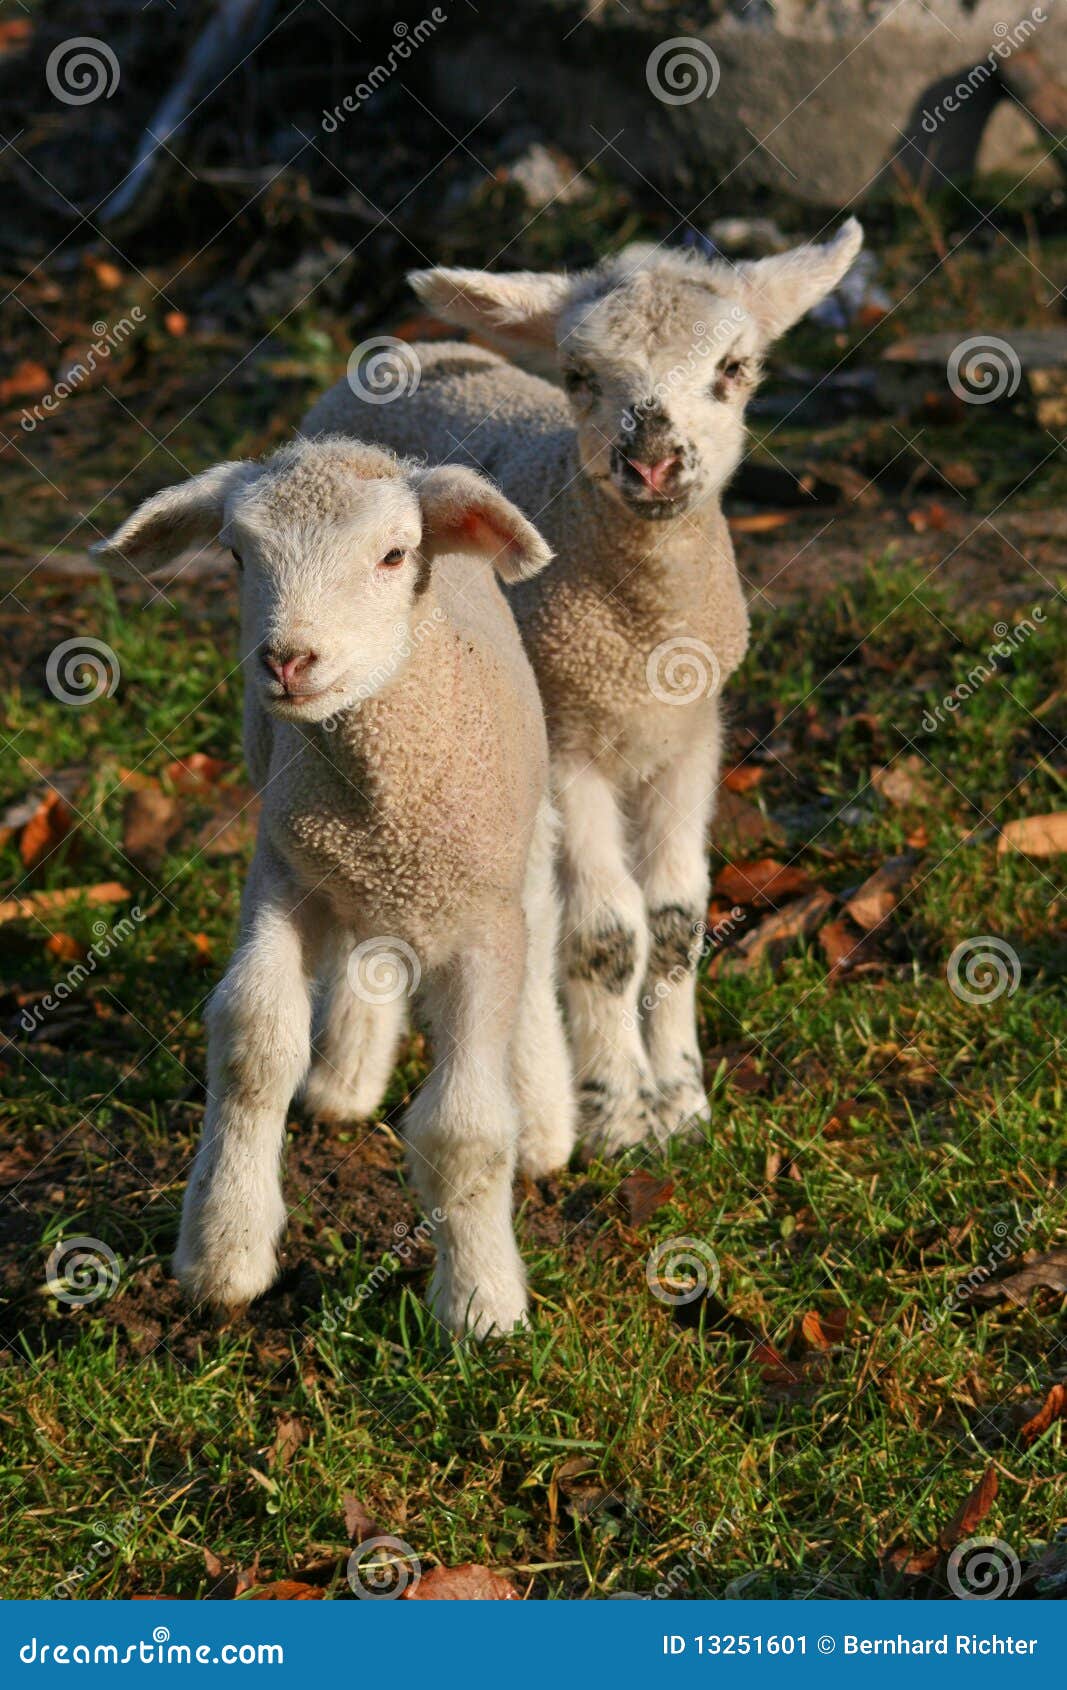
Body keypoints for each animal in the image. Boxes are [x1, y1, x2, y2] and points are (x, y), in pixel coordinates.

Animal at [94, 436, 576, 1336]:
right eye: (236, 553)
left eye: (392, 555)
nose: (287, 660)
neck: (380, 793)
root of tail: (371, 447)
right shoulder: (282, 871)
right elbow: (252, 1043)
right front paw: (224, 1252)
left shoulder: (481, 916)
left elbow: (463, 1128)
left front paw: (480, 1304)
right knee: (366, 943)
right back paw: (347, 1079)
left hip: (518, 846)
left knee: (537, 941)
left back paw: (543, 1119)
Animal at [303, 221, 863, 1154]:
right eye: (577, 375)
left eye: (734, 368)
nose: (653, 463)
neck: (641, 638)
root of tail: (400, 357)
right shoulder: (569, 743)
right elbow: (606, 934)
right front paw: (618, 1111)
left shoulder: (692, 740)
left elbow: (673, 924)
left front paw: (683, 1100)